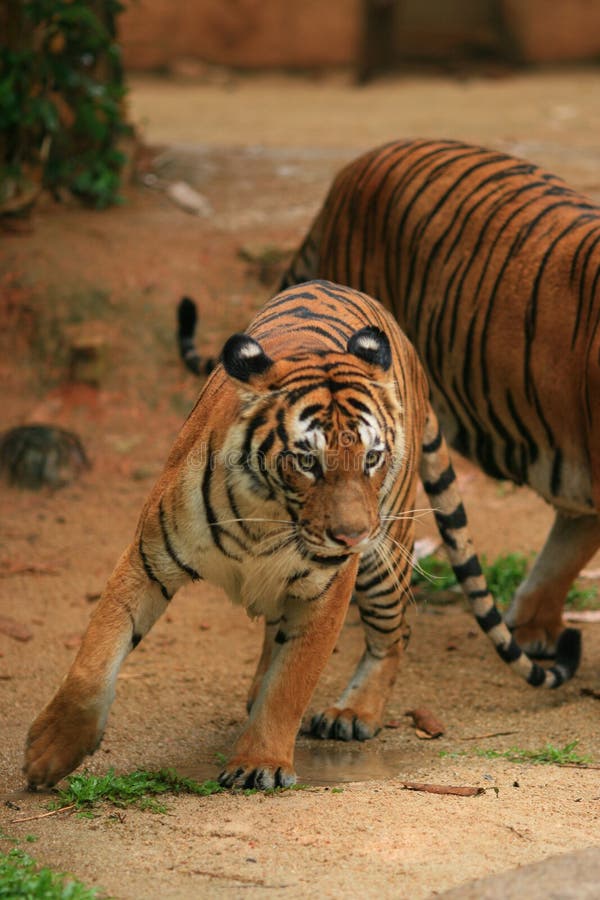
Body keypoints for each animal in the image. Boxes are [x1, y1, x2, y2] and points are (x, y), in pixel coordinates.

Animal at [24, 281, 580, 791]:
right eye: (307, 461)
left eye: (372, 457)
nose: (351, 537)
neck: (266, 517)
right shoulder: (147, 561)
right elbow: (93, 662)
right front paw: (48, 754)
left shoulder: (327, 591)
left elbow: (293, 682)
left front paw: (259, 763)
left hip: (385, 558)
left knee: (395, 632)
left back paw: (354, 713)